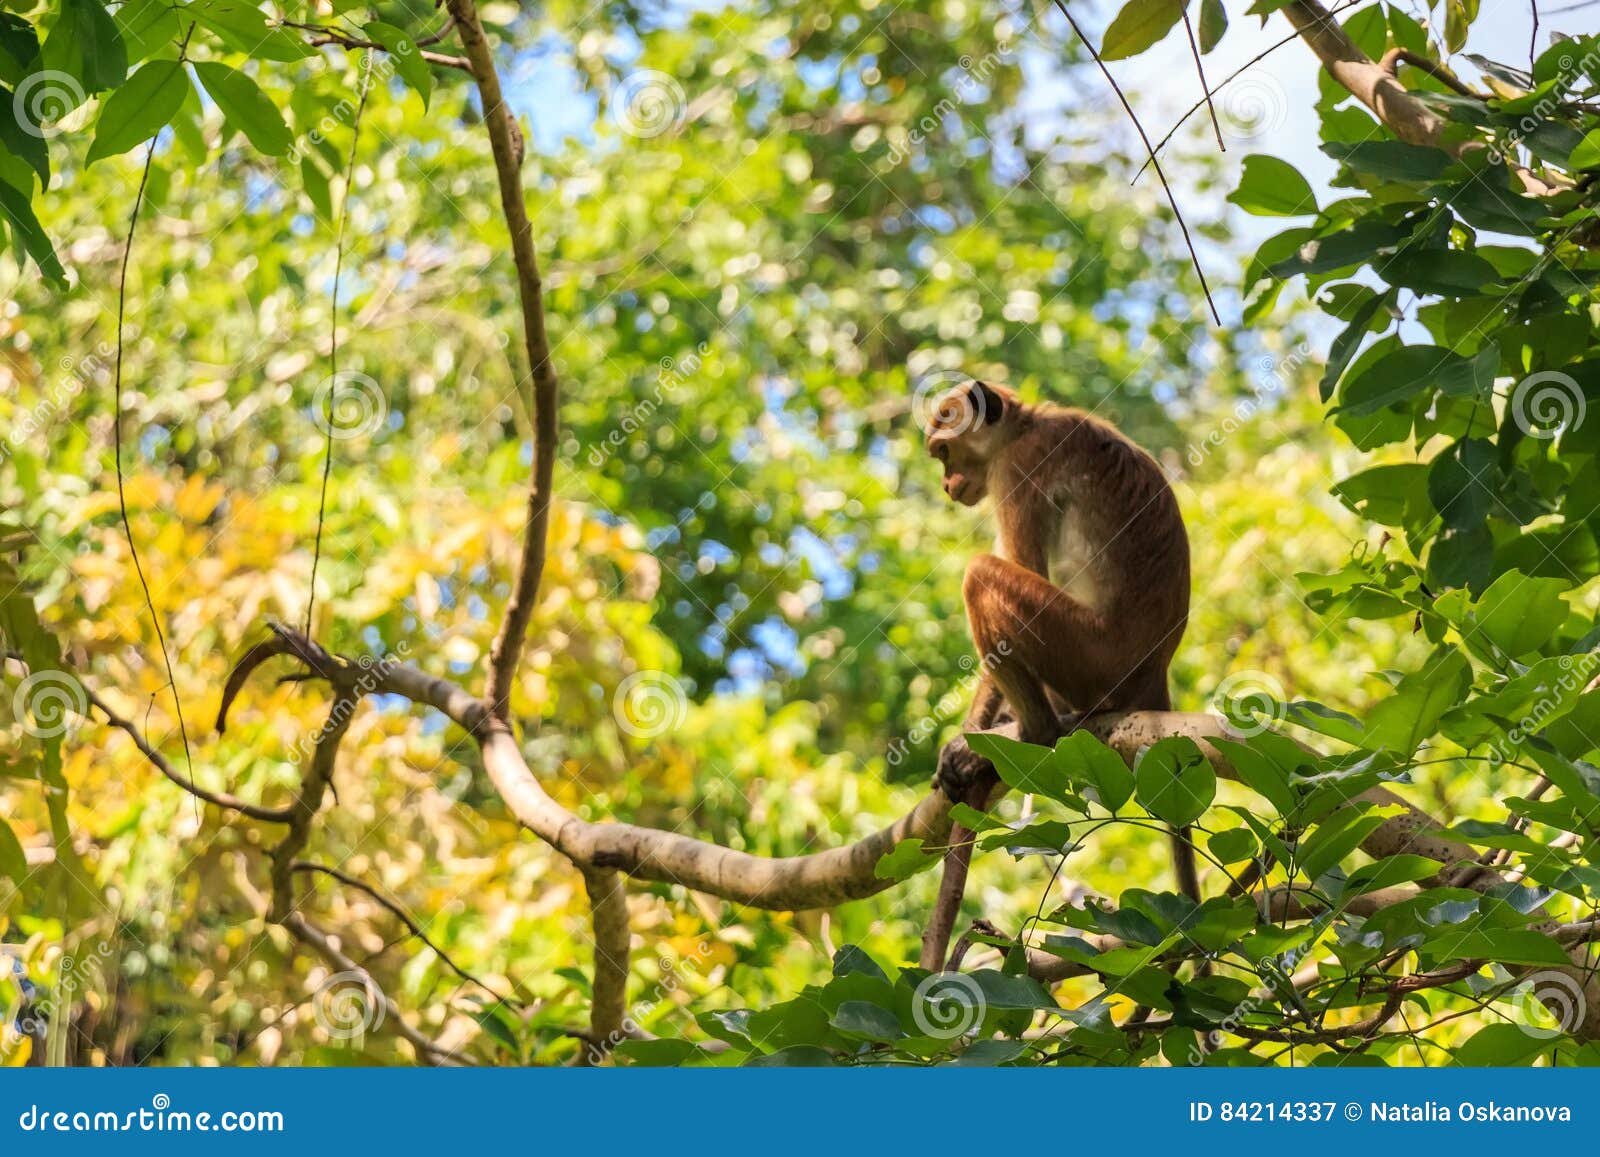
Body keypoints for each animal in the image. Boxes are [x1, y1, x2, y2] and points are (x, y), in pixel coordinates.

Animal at [920, 379, 1196, 965]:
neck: (1025, 425)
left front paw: (969, 743)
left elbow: (1020, 562)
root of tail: (1155, 667)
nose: (948, 484)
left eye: (945, 452)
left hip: (1089, 652)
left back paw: (1036, 730)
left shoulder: (1019, 469)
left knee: (982, 574)